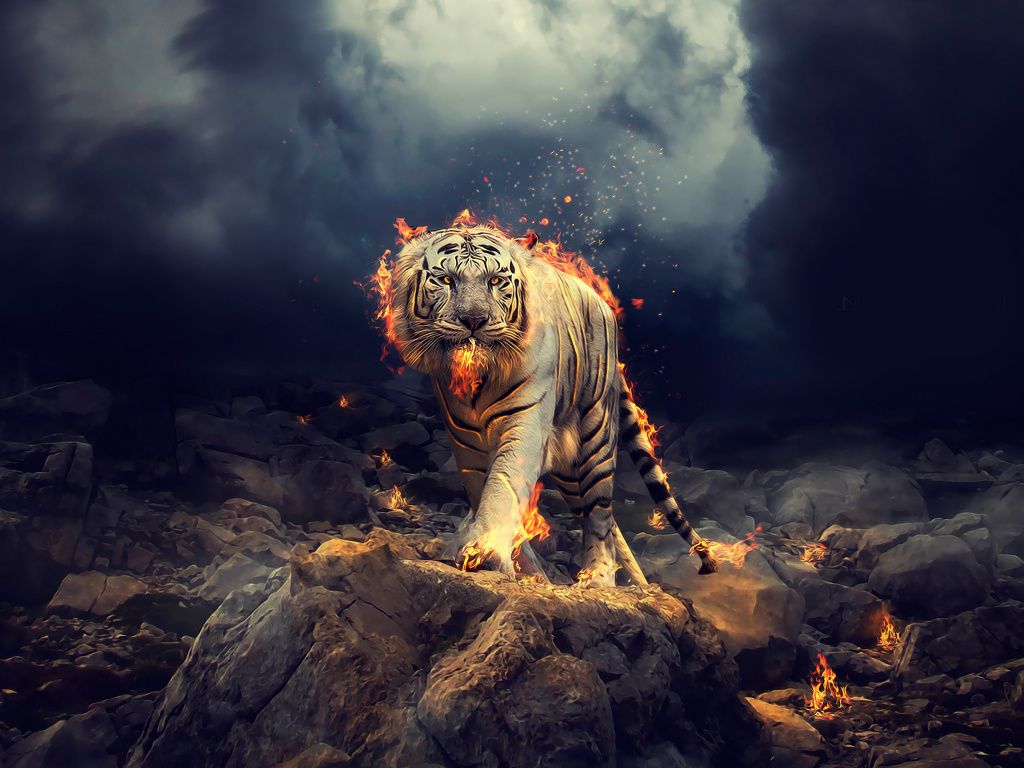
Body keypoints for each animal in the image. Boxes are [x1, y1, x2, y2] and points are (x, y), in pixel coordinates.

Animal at [385, 218, 718, 586]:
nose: (474, 321)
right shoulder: (465, 443)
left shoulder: (525, 426)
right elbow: (484, 490)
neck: (477, 378)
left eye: (495, 281)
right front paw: (520, 568)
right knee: (606, 520)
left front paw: (484, 551)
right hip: (571, 476)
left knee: (600, 514)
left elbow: (503, 486)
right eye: (446, 280)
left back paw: (598, 579)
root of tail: (601, 302)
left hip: (594, 441)